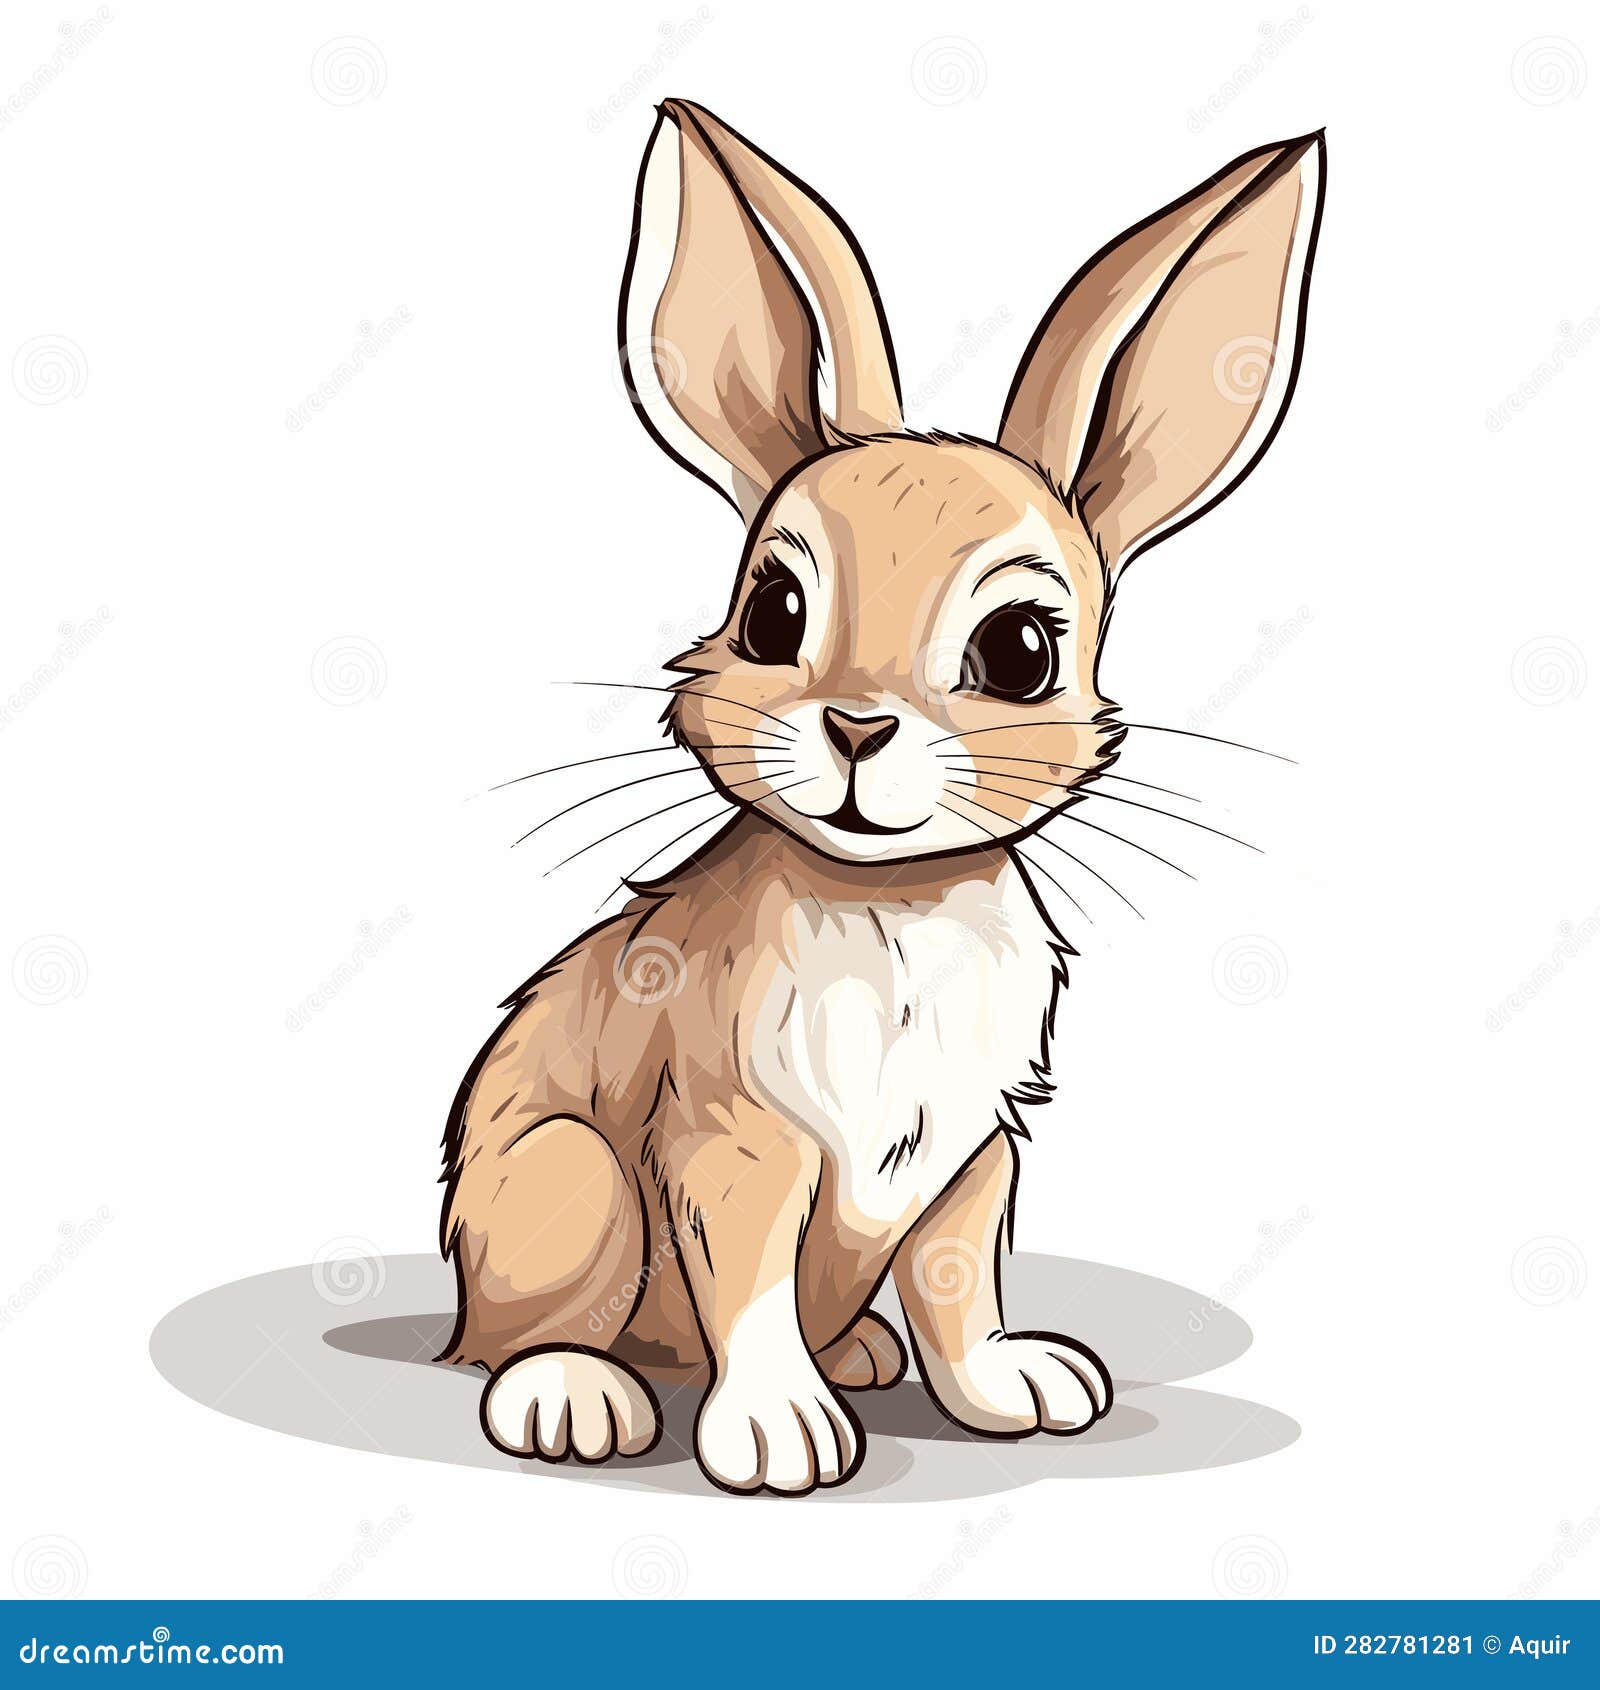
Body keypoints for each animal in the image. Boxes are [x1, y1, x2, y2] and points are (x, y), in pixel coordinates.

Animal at [439, 99, 1325, 1494]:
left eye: (1021, 649)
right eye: (771, 612)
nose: (857, 726)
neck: (888, 899)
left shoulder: (977, 1151)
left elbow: (961, 1284)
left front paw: (1021, 1389)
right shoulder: (732, 1140)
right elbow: (747, 1280)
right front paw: (780, 1441)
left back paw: (856, 1356)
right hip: (566, 1186)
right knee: (527, 1330)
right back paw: (574, 1400)